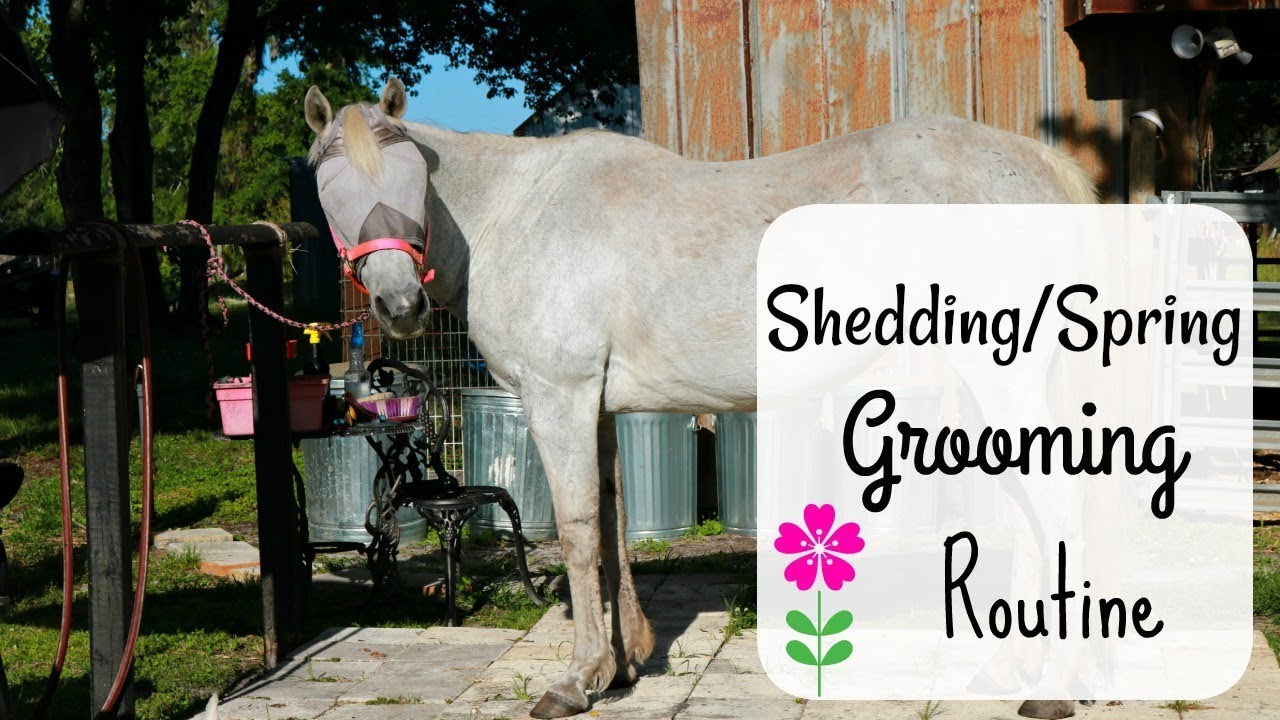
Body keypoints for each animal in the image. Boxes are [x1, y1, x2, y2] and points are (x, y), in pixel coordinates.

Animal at [304, 77, 1097, 720]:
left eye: (409, 177)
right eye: (329, 186)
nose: (400, 303)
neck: (515, 211)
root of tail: (1042, 168)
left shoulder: (559, 399)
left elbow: (579, 528)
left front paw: (578, 680)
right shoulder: (596, 409)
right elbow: (614, 522)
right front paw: (624, 662)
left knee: (1060, 512)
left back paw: (1056, 690)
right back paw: (1011, 671)